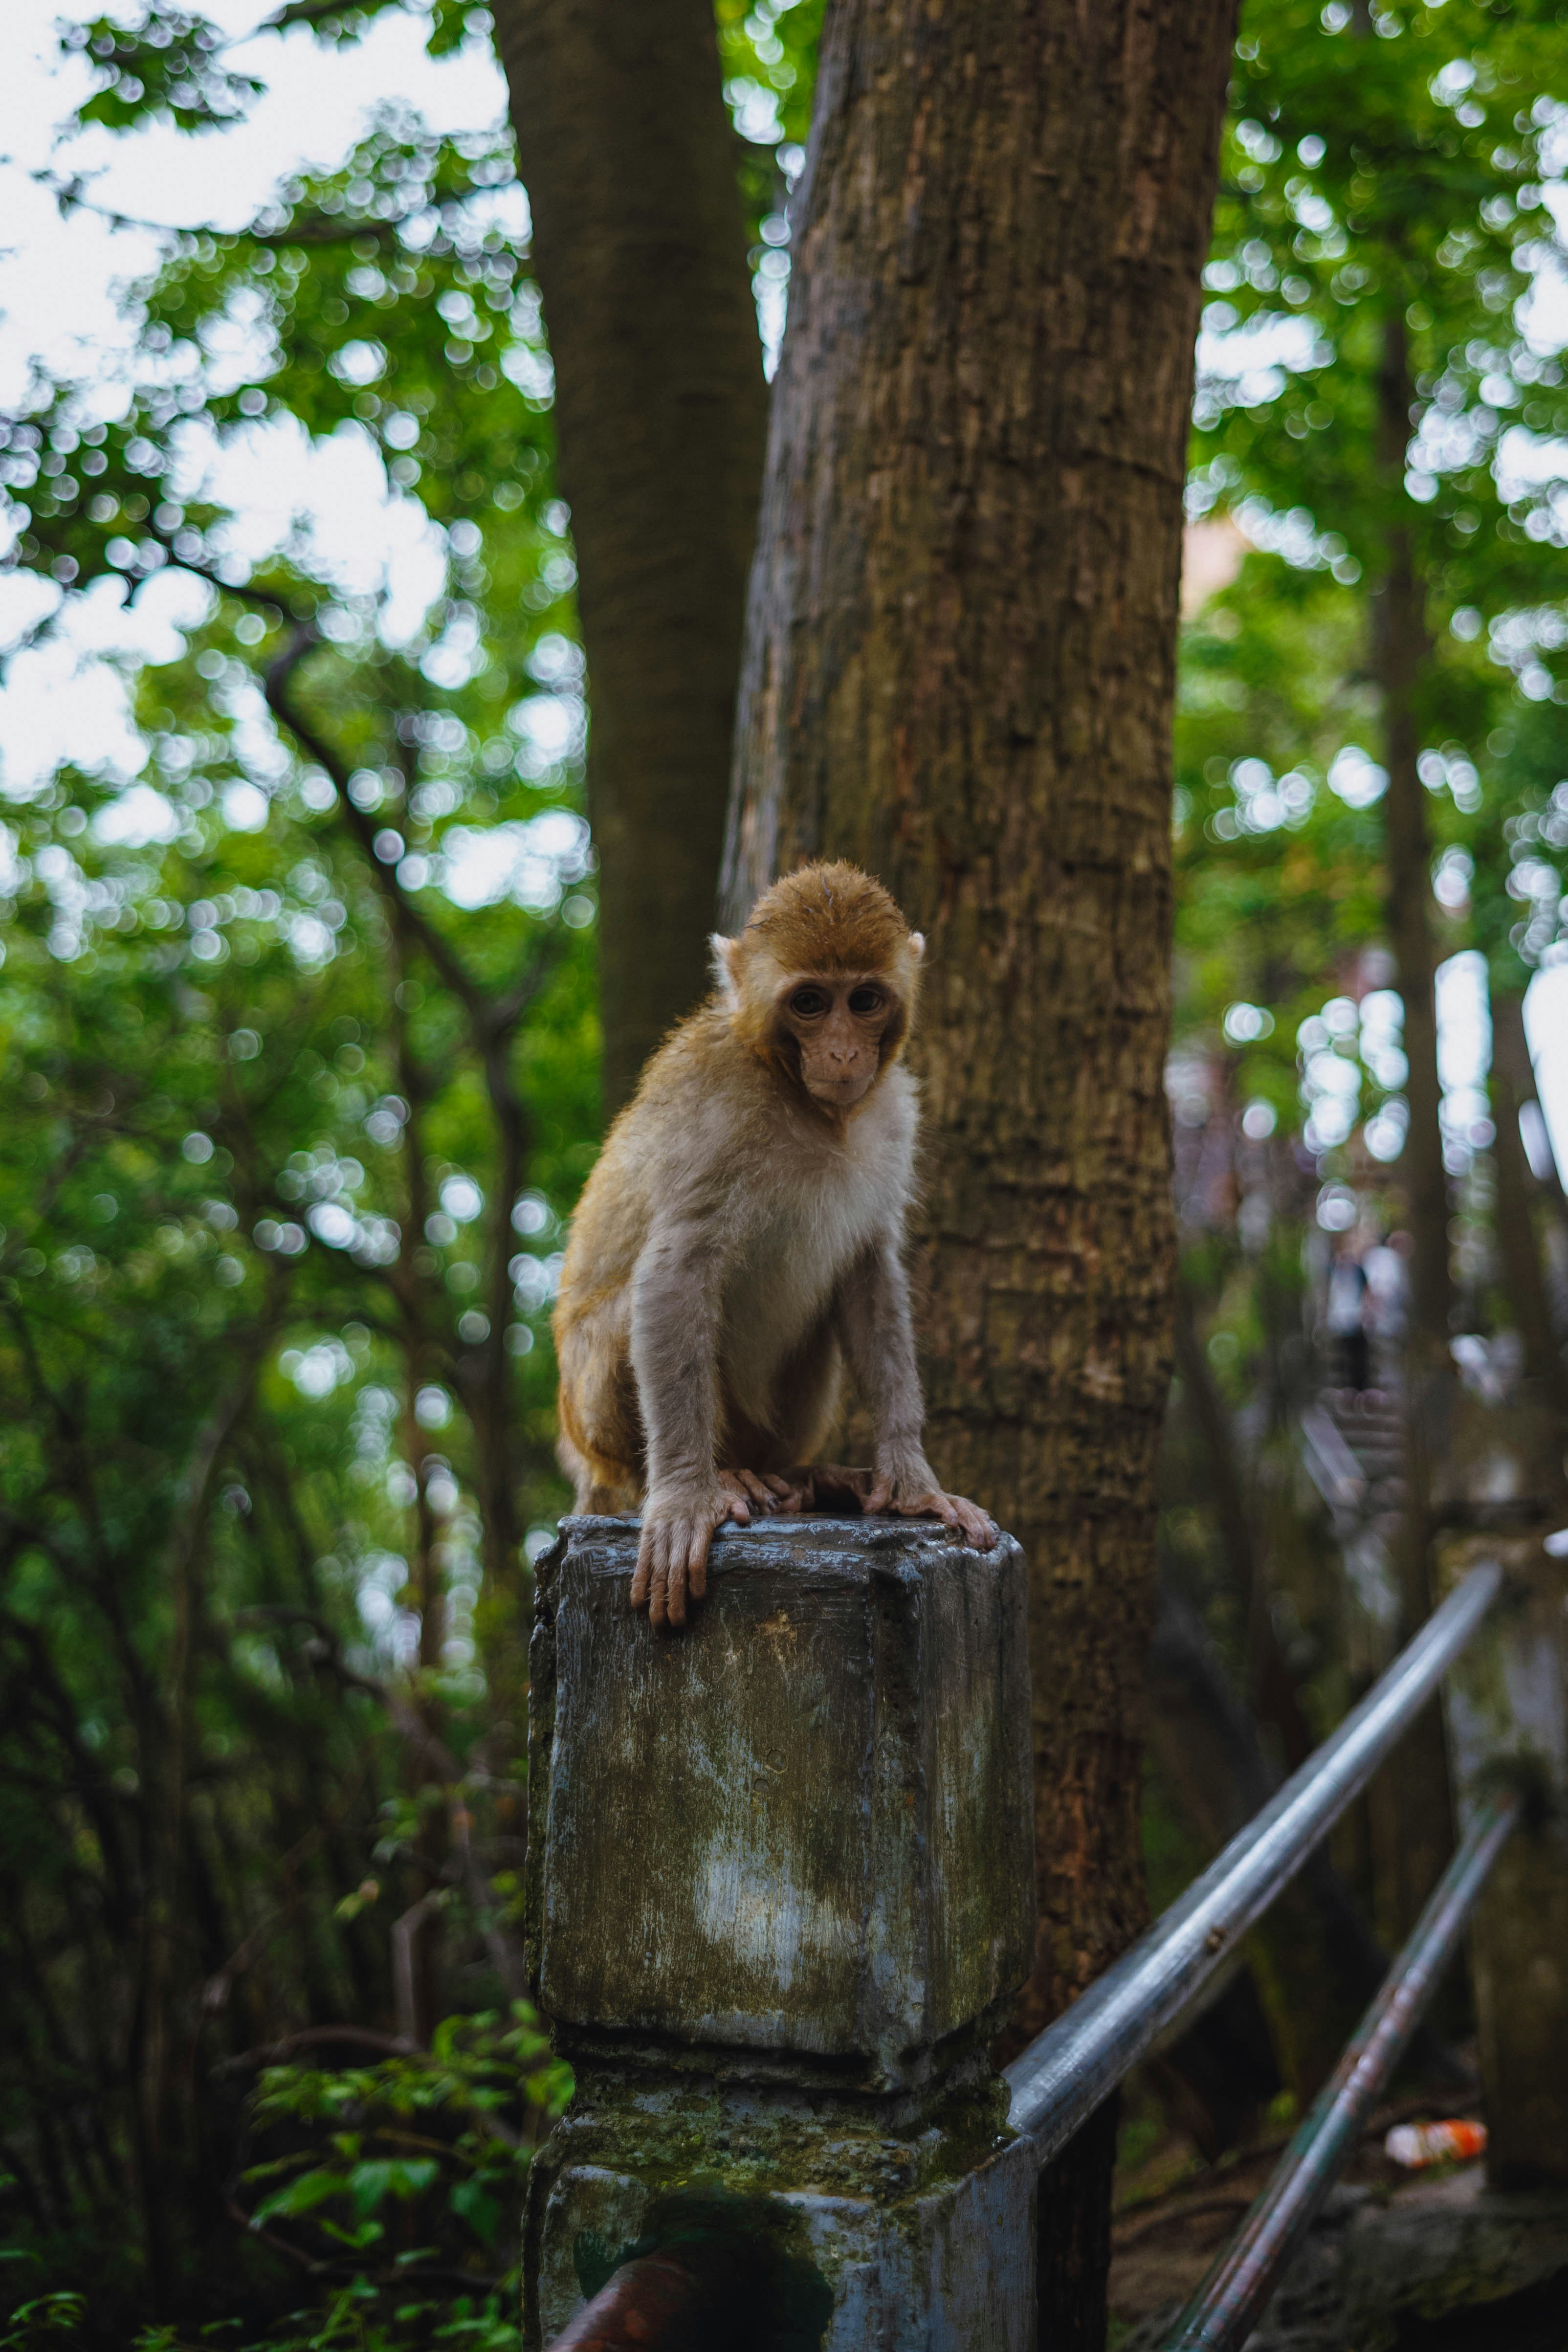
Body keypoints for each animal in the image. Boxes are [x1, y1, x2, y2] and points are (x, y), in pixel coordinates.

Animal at [552, 860, 997, 1630]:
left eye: (865, 1000)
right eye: (810, 1002)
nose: (844, 1051)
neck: (810, 1107)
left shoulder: (891, 1114)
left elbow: (868, 1272)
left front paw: (911, 1478)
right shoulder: (712, 1109)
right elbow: (674, 1272)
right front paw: (682, 1495)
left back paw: (808, 1476)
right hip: (594, 1428)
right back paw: (716, 1475)